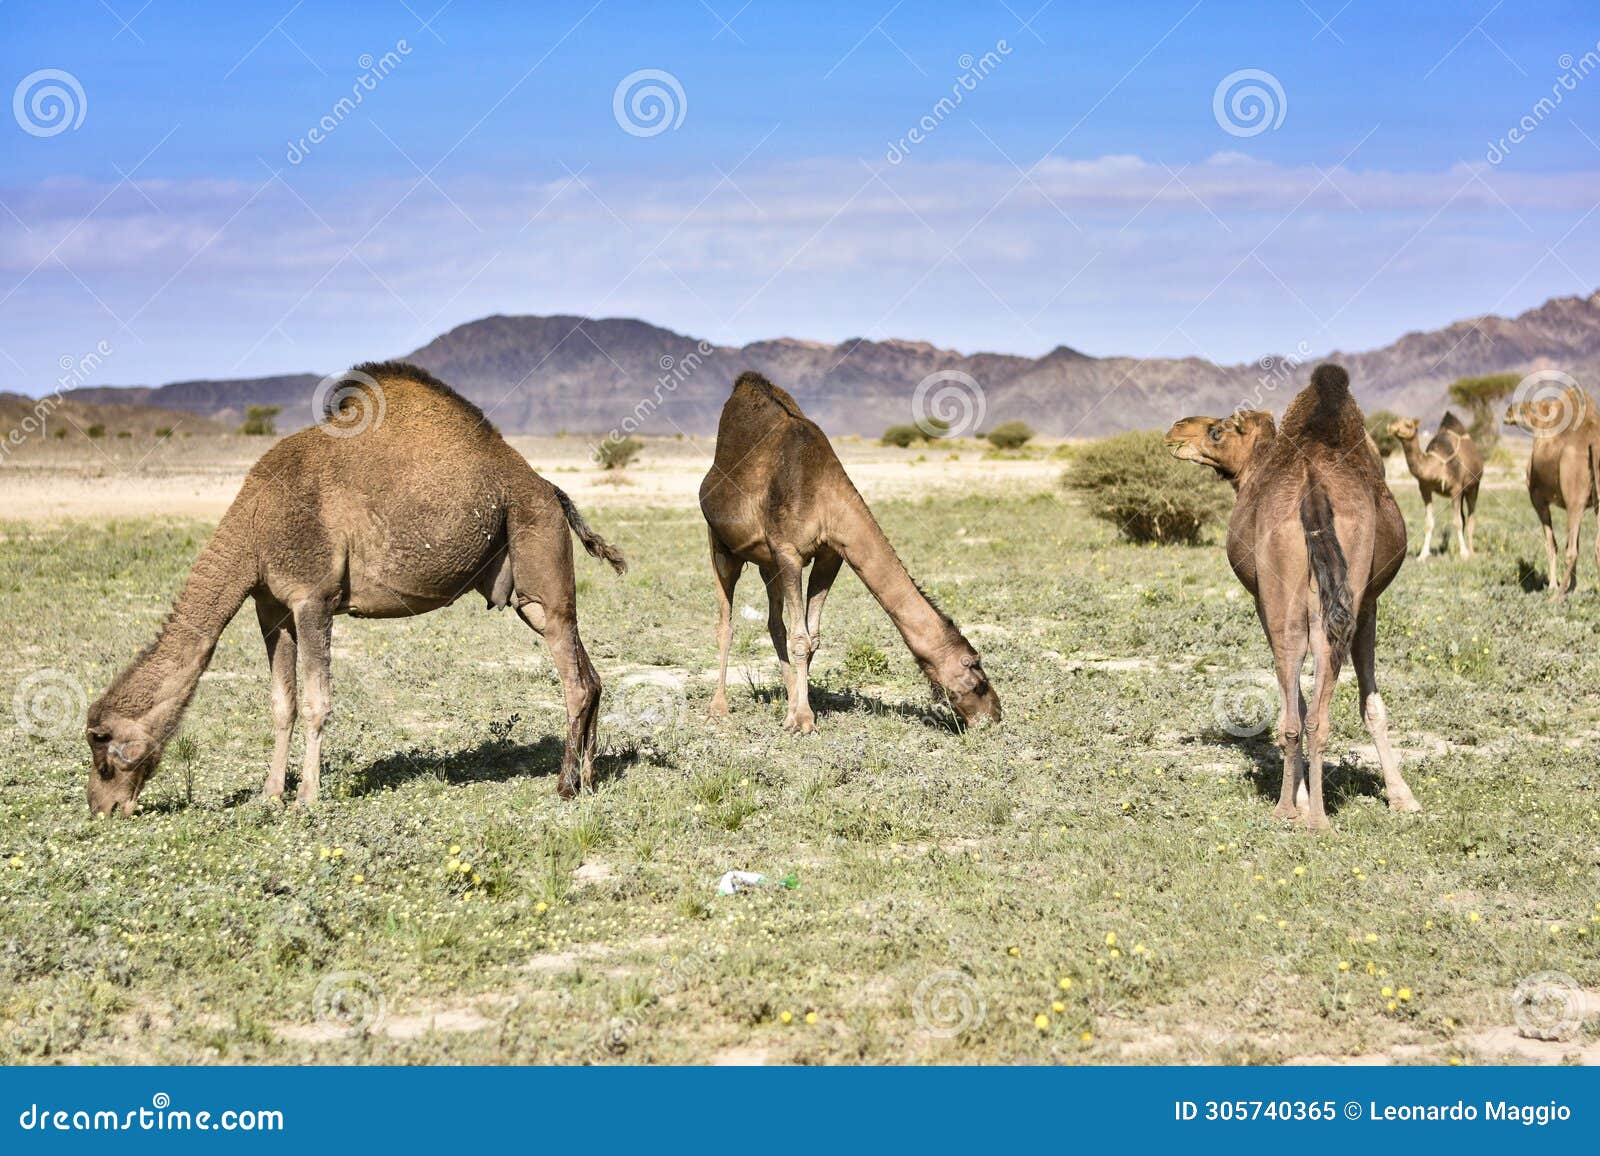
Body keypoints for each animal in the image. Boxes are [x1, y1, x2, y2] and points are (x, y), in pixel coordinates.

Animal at [84, 362, 626, 815]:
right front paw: (269, 794)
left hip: (537, 544)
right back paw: (590, 779)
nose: (102, 808)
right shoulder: (271, 607)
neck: (254, 528)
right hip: (526, 582)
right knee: (591, 674)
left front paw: (306, 797)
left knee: (574, 678)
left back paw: (564, 785)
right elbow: (282, 705)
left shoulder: (313, 599)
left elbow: (317, 703)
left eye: (100, 742)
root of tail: (549, 488)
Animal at [698, 371, 1000, 733]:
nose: (996, 715)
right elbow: (800, 638)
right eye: (977, 677)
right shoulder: (788, 552)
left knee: (774, 623)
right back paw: (718, 708)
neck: (826, 497)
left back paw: (785, 698)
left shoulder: (831, 555)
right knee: (725, 623)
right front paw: (803, 720)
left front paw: (796, 711)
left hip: (766, 562)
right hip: (721, 545)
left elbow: (812, 638)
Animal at [1166, 365, 1419, 829]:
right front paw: (1402, 797)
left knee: (1299, 682)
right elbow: (1363, 702)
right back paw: (1311, 814)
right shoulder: (1362, 602)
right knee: (1311, 688)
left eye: (1215, 431)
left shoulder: (1283, 601)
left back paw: (1296, 810)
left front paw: (1400, 796)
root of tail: (1312, 488)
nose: (1175, 429)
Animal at [1387, 413, 1482, 559]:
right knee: (1464, 517)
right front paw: (1423, 555)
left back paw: (1471, 552)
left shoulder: (1455, 488)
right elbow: (1429, 523)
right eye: (1395, 421)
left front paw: (1464, 554)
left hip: (1474, 486)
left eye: (1408, 424)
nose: (1391, 427)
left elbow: (1457, 522)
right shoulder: (1424, 488)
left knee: (1471, 518)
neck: (1435, 465)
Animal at [1504, 386, 1600, 596]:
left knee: (1571, 550)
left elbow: (1551, 544)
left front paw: (1554, 586)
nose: (1507, 412)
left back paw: (1556, 596)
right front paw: (1573, 587)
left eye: (1521, 409)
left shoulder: (1538, 499)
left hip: (1574, 498)